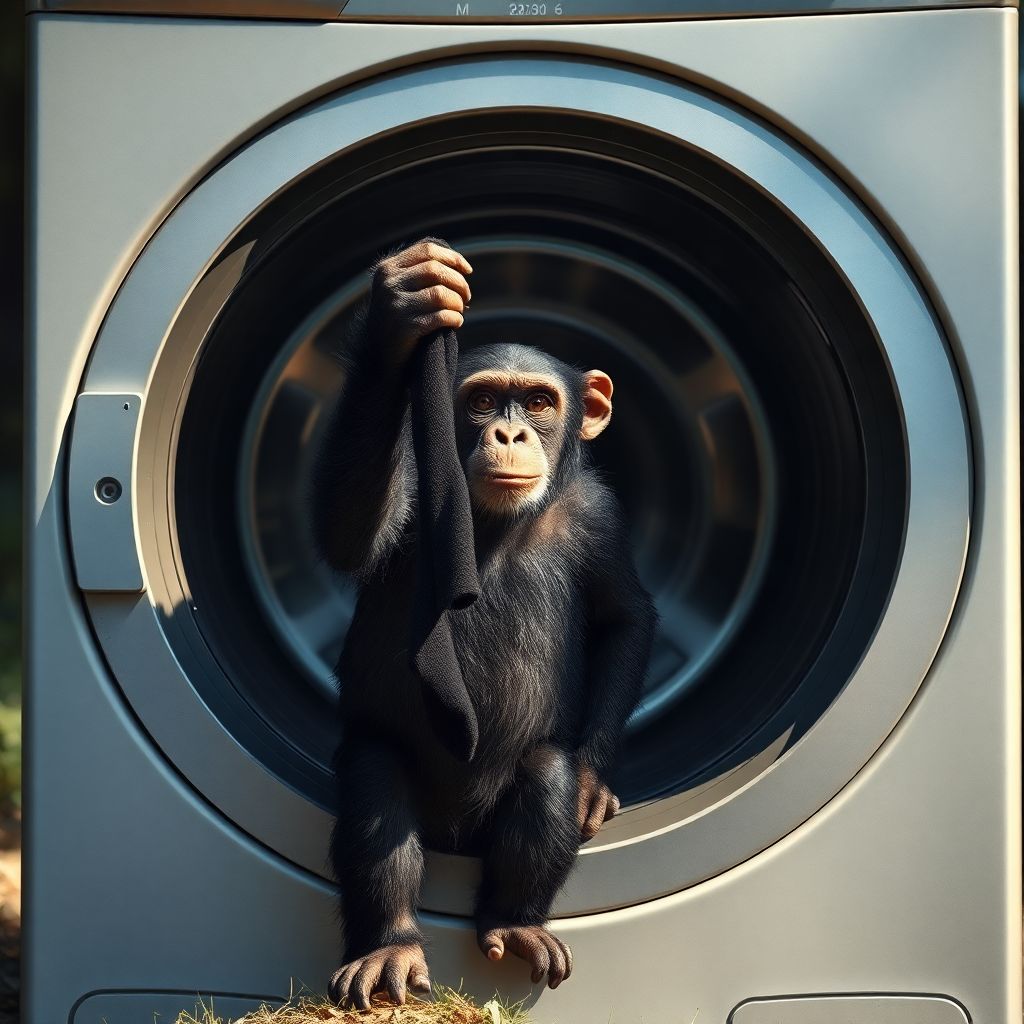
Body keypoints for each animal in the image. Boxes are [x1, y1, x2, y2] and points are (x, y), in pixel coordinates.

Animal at [311, 239, 657, 1010]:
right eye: (478, 400)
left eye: (539, 400)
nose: (509, 430)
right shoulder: (412, 495)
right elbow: (349, 532)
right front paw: (402, 306)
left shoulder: (602, 517)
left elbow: (625, 620)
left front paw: (595, 780)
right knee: (376, 782)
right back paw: (390, 944)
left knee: (545, 771)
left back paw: (516, 920)